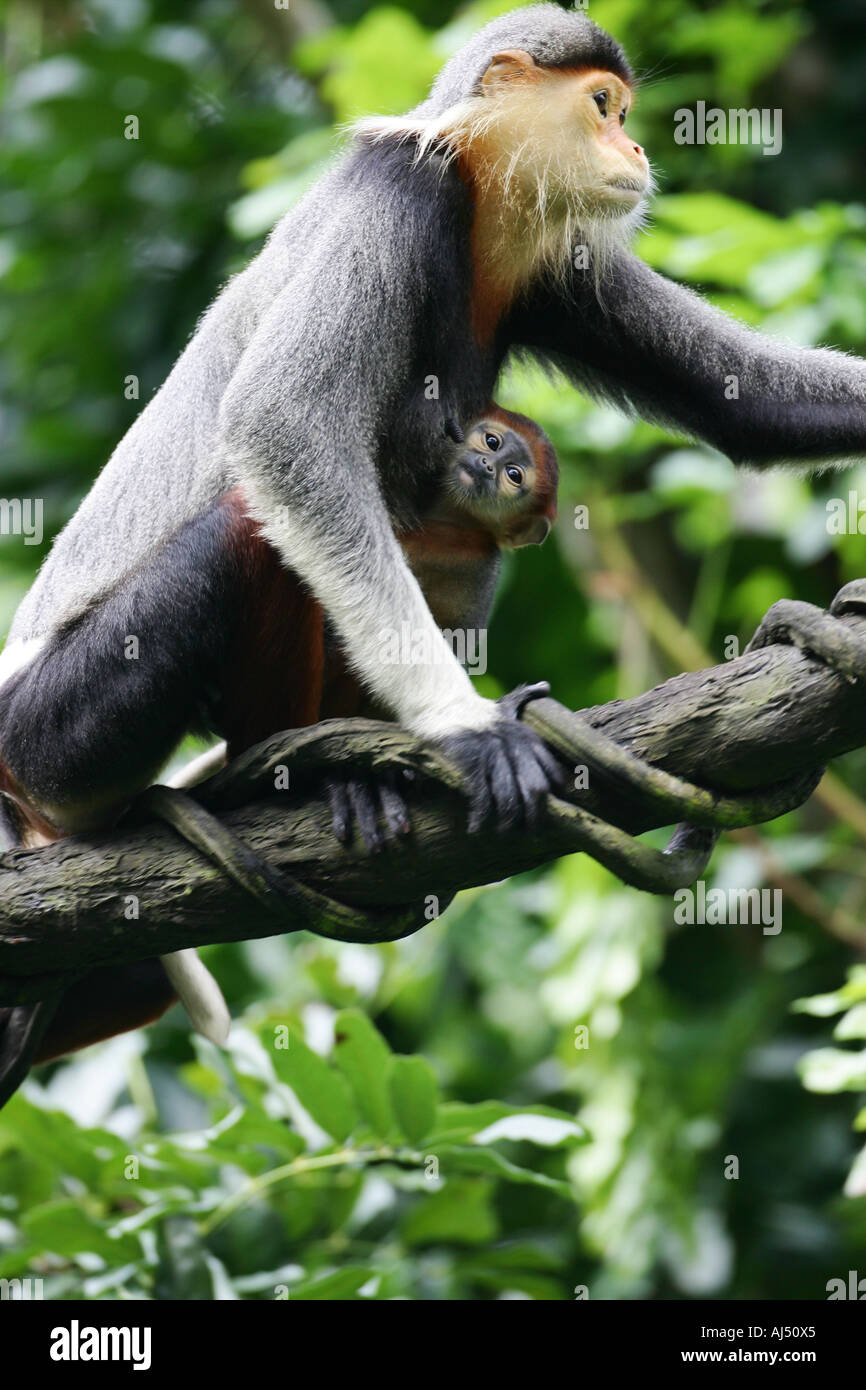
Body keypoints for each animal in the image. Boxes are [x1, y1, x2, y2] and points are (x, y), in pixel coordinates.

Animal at [4, 3, 866, 1100]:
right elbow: (280, 428)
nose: (632, 149)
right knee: (241, 526)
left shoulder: (551, 263)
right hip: (57, 732)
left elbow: (750, 401)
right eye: (604, 107)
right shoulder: (399, 196)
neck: (470, 204)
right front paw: (463, 726)